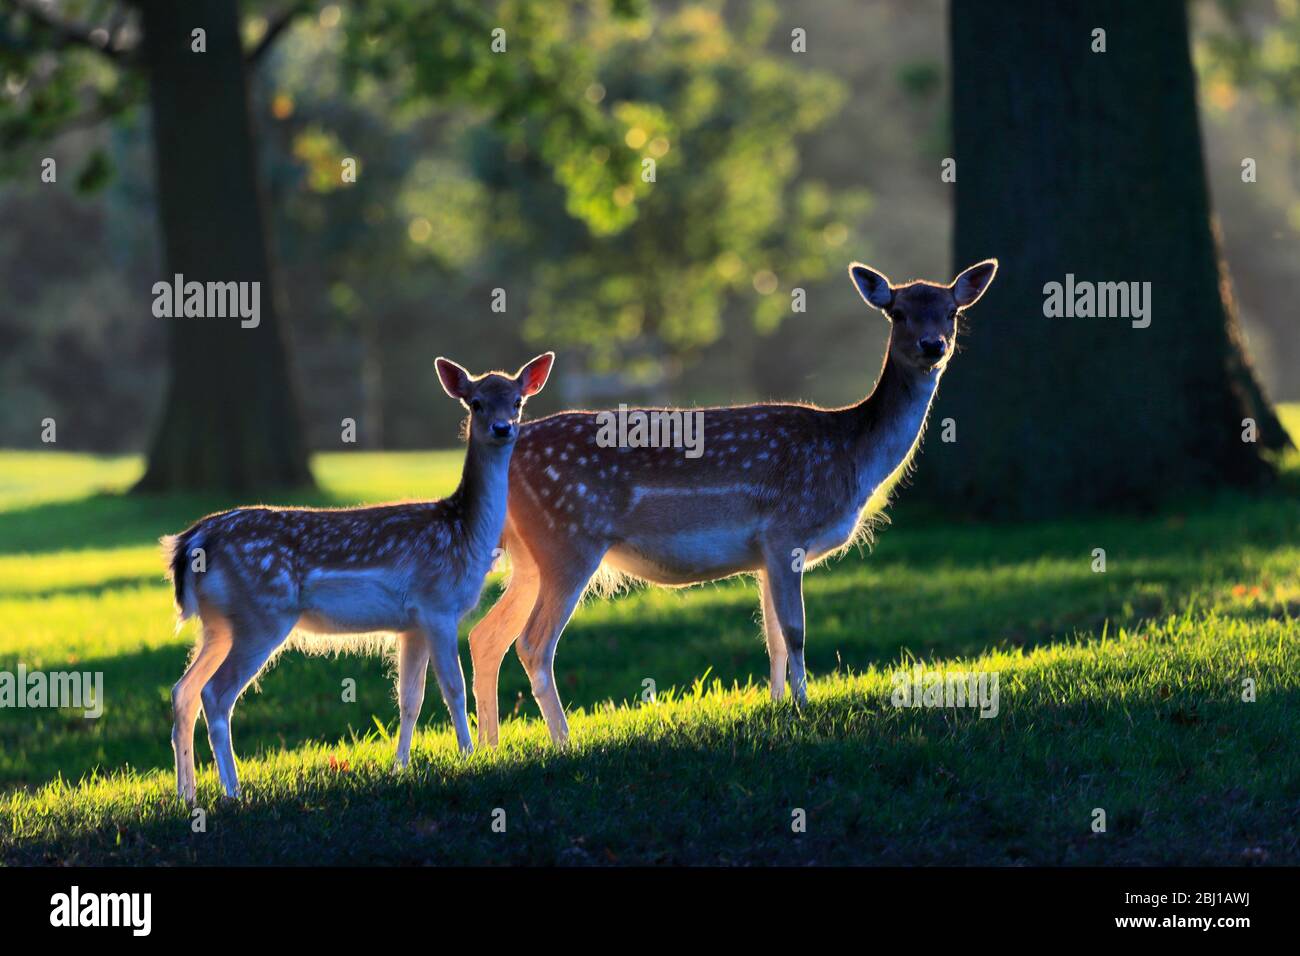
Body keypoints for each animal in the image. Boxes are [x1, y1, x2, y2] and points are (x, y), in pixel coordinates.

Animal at [162, 352, 554, 804]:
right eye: (475, 403)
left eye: (518, 401)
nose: (503, 428)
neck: (463, 532)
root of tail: (192, 541)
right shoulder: (437, 605)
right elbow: (453, 688)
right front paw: (469, 757)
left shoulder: (412, 624)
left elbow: (410, 697)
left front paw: (400, 767)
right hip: (262, 616)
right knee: (215, 693)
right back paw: (232, 790)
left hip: (218, 625)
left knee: (183, 690)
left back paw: (186, 794)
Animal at [460, 261, 997, 748]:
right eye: (898, 312)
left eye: (951, 311)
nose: (933, 346)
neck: (849, 454)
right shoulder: (786, 531)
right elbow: (796, 630)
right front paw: (804, 707)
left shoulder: (764, 554)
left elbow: (773, 636)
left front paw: (779, 707)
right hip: (568, 541)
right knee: (534, 643)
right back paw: (562, 741)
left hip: (531, 558)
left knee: (486, 636)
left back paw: (489, 747)